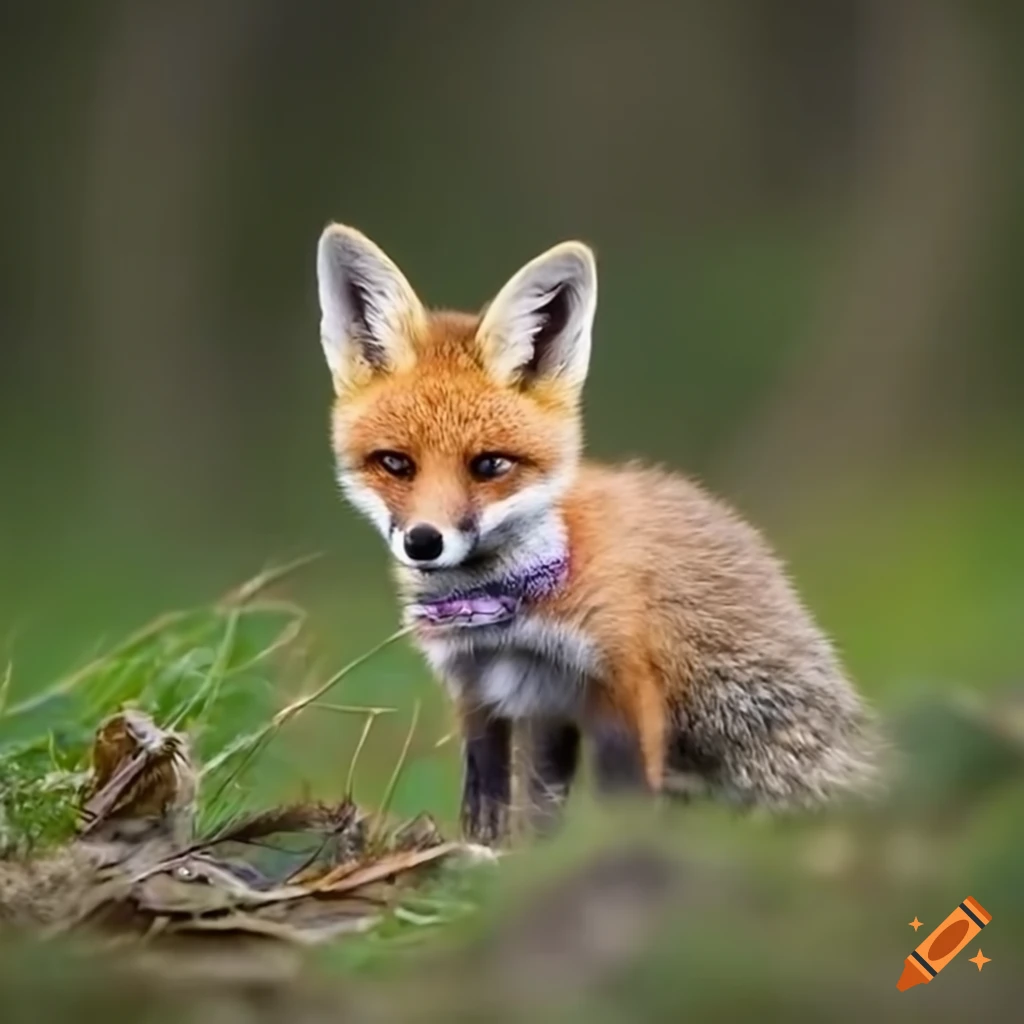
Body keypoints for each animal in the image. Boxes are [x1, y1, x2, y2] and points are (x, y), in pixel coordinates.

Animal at [314, 223, 878, 844]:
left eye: (490, 465)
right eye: (395, 463)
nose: (423, 542)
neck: (512, 612)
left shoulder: (622, 686)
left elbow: (621, 803)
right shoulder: (487, 694)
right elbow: (491, 804)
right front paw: (491, 854)